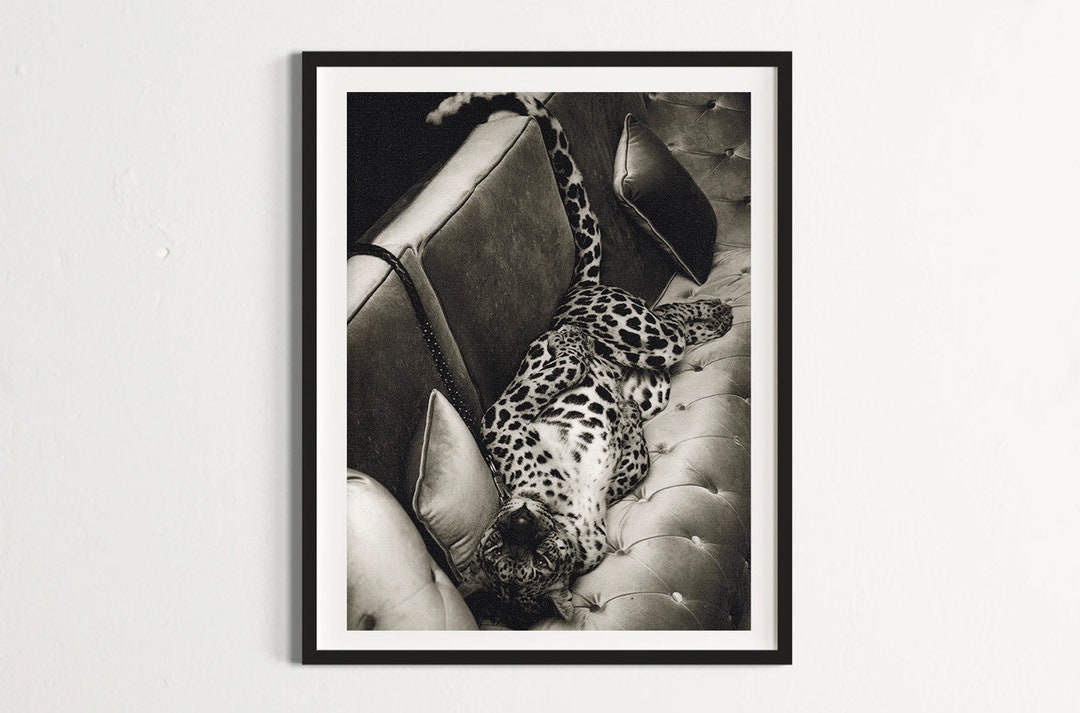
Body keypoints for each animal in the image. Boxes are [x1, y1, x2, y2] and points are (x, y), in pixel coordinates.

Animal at [426, 93, 733, 628]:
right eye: (507, 556)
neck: (564, 512)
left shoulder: (499, 419)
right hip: (652, 374)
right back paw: (713, 317)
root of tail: (577, 290)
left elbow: (553, 374)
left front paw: (567, 349)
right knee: (672, 327)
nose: (520, 519)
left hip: (637, 332)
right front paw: (621, 419)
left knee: (666, 319)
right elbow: (634, 454)